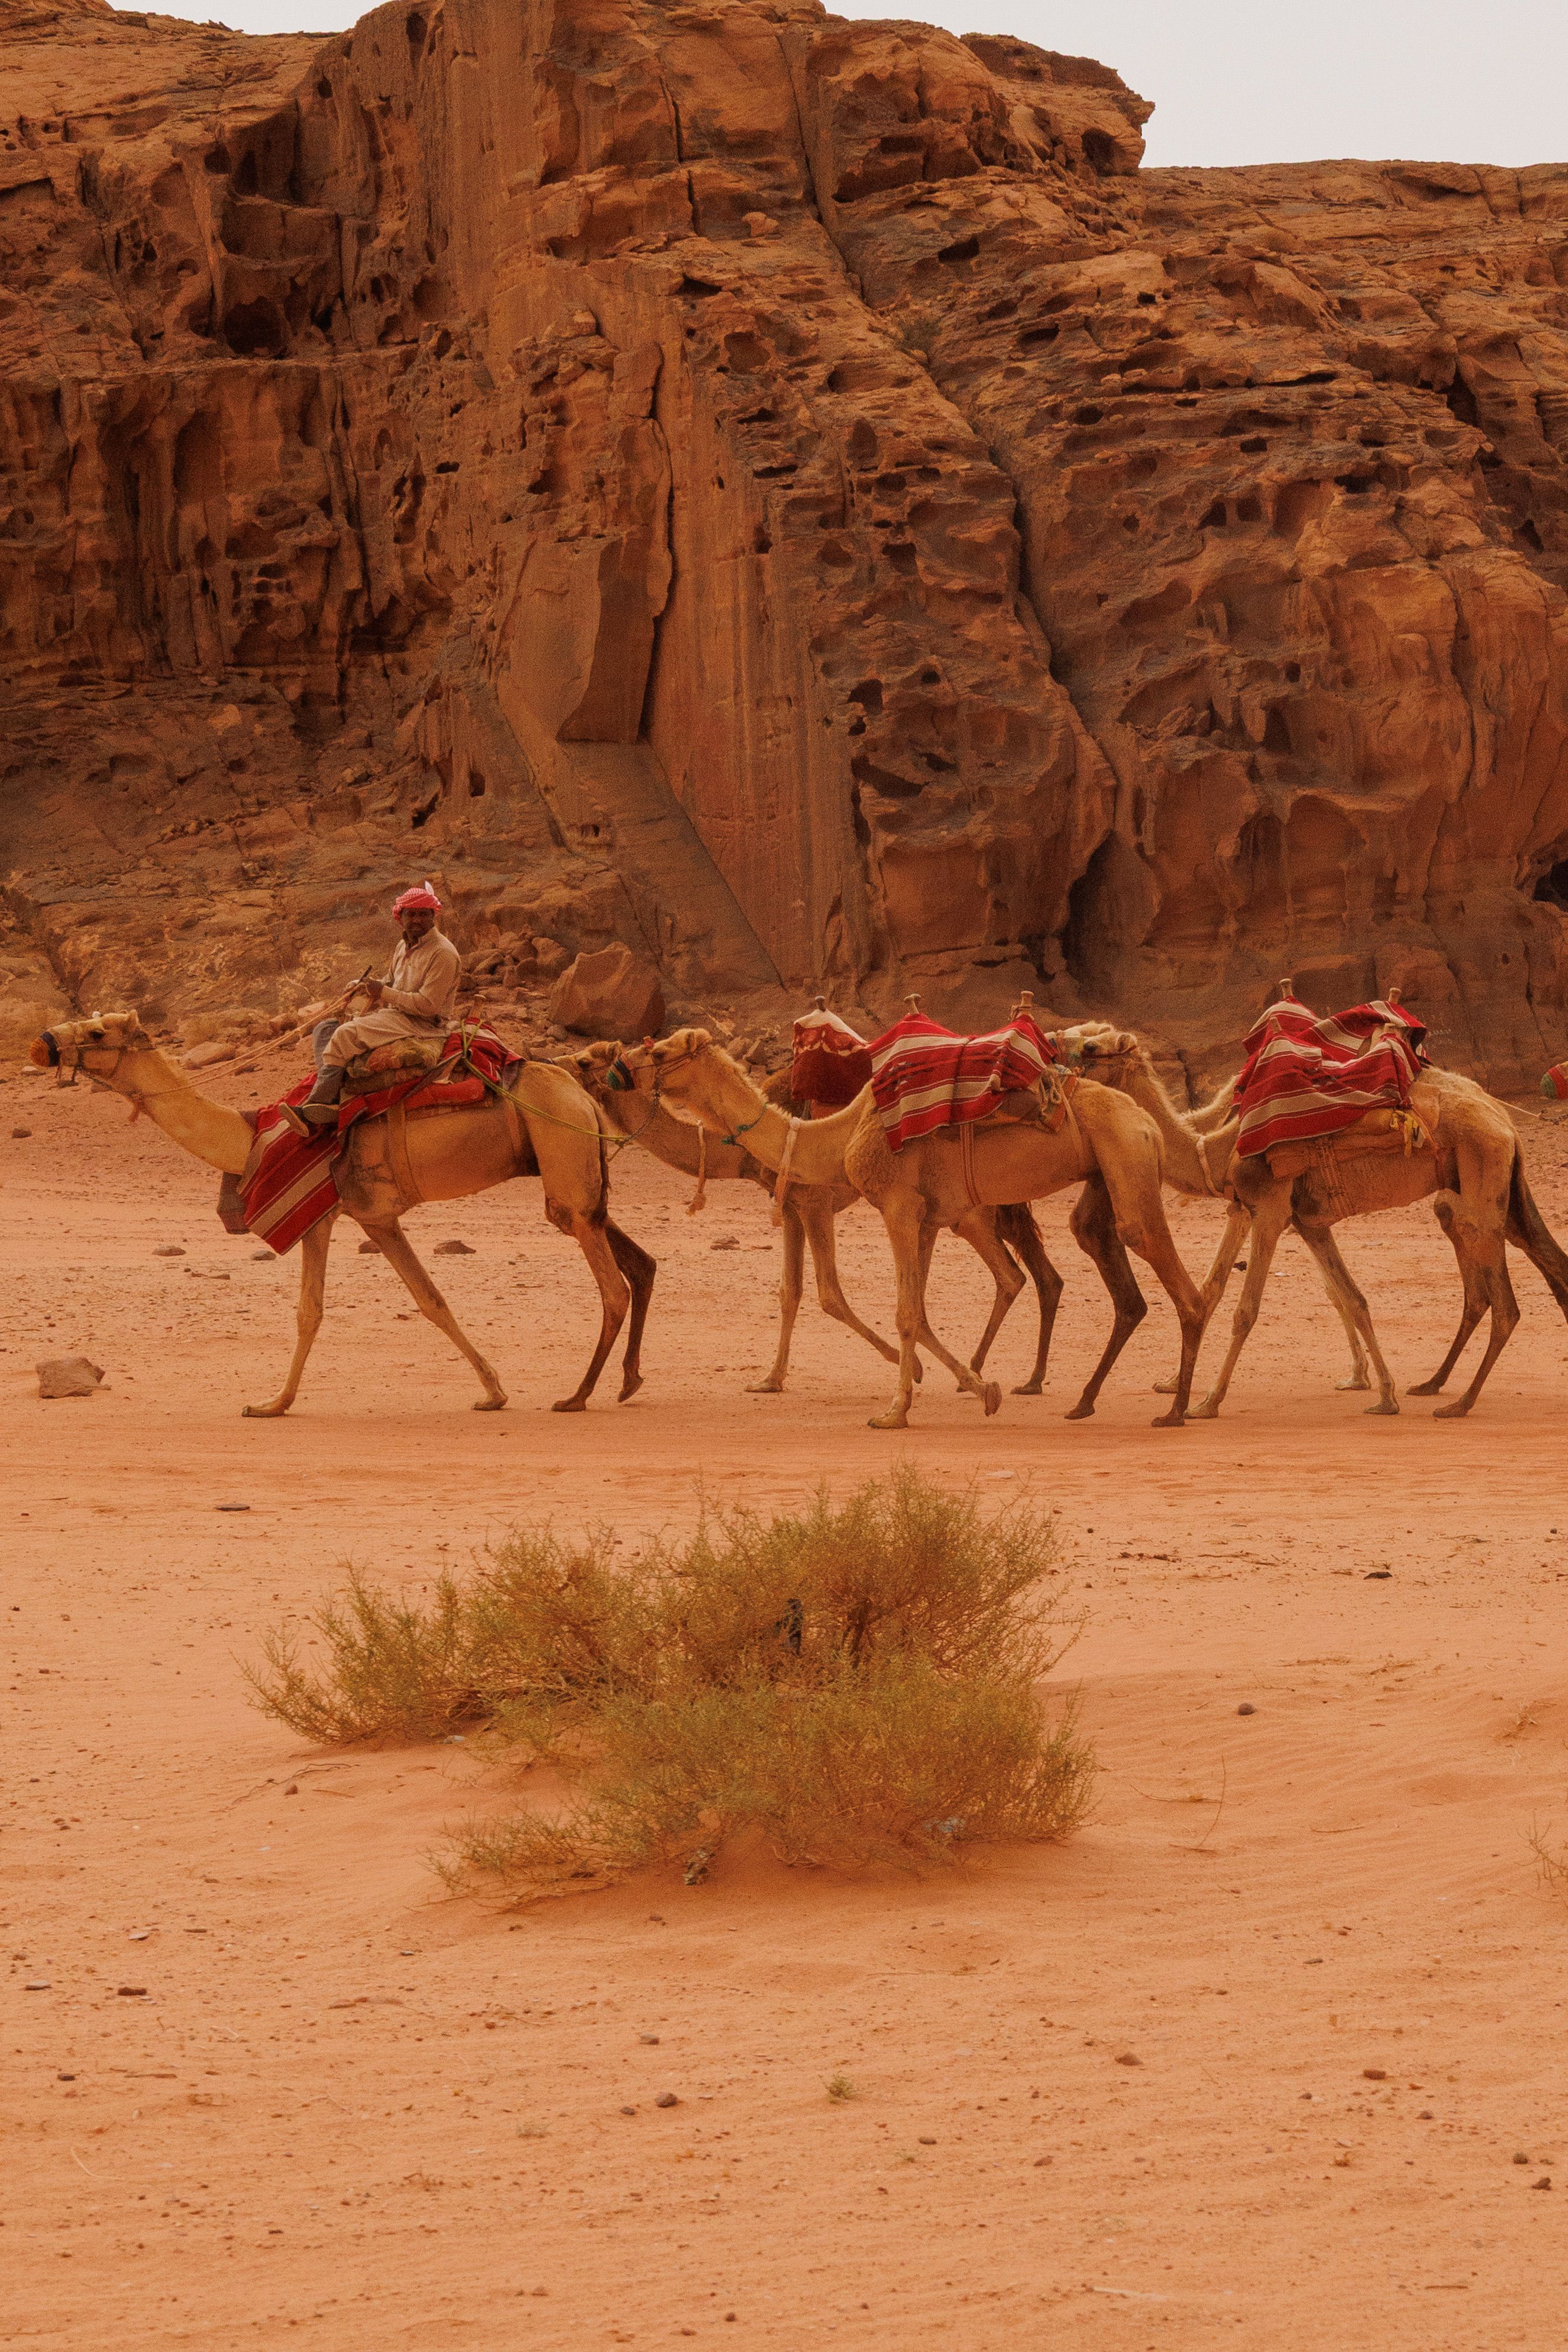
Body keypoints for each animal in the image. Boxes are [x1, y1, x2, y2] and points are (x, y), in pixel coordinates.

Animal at [31, 1011, 655, 1417]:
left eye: (96, 1032)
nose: (42, 1044)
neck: (251, 1138)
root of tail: (581, 1094)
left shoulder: (373, 1213)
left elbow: (431, 1301)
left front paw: (494, 1392)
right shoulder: (323, 1216)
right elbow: (310, 1311)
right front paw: (273, 1403)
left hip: (564, 1166)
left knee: (611, 1286)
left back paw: (577, 1396)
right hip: (579, 1177)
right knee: (639, 1263)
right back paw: (627, 1382)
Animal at [564, 1038, 1082, 1397]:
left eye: (587, 1059)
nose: (566, 1065)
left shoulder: (814, 1204)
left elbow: (829, 1293)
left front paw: (911, 1367)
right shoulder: (790, 1205)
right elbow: (789, 1291)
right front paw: (770, 1379)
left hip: (973, 1211)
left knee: (1015, 1275)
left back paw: (992, 1375)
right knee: (1026, 1276)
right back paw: (1003, 1375)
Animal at [623, 1030, 1204, 1430]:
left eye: (661, 1052)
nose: (622, 1067)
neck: (834, 1135)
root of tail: (1149, 1124)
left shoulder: (896, 1206)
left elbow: (903, 1313)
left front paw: (895, 1411)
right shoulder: (927, 1215)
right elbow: (919, 1311)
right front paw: (980, 1388)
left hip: (1123, 1164)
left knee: (1174, 1282)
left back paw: (1176, 1409)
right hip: (1102, 1175)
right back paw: (1097, 1401)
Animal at [1064, 1014, 1568, 1419]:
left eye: (1091, 1049)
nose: (1063, 1074)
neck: (1217, 1149)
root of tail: (1504, 1120)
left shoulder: (1268, 1210)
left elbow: (1246, 1310)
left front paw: (1207, 1401)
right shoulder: (1304, 1221)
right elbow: (1352, 1299)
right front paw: (1384, 1395)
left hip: (1483, 1179)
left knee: (1504, 1301)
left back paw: (1459, 1403)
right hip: (1500, 1187)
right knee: (1541, 1263)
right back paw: (1435, 1387)